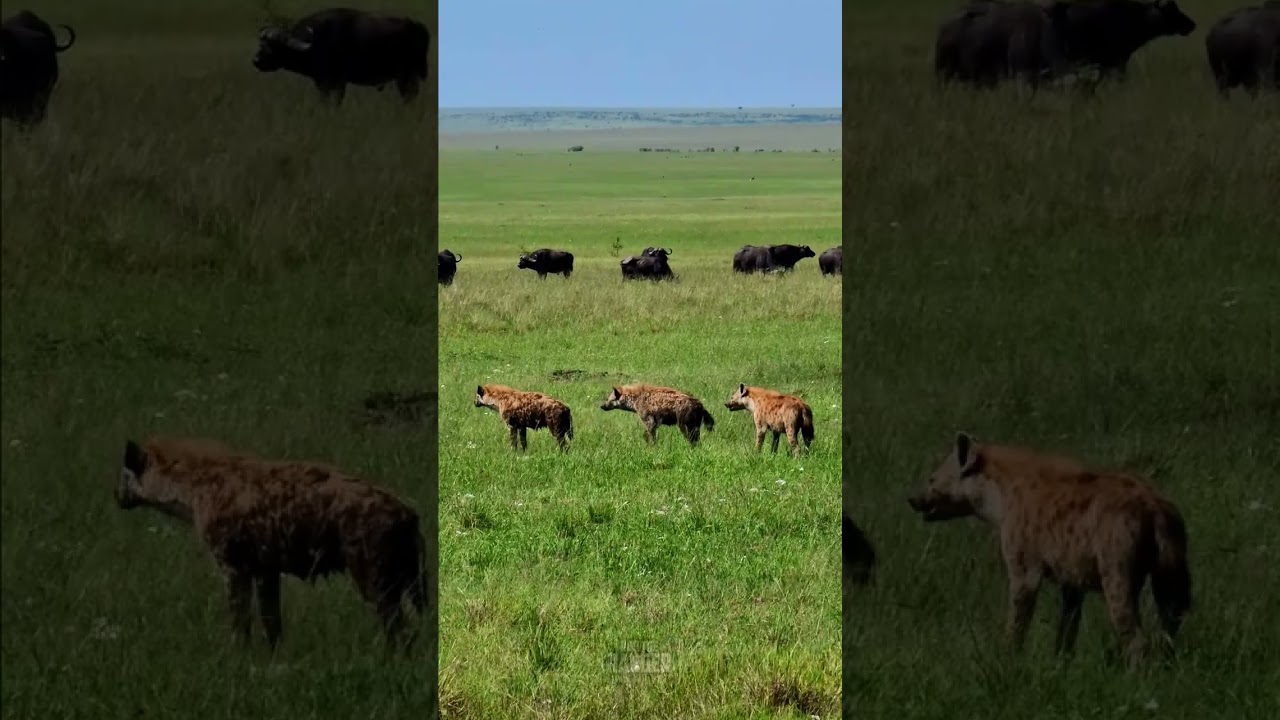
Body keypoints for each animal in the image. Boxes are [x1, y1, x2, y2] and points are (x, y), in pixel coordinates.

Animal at [253, 7, 430, 105]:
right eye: (262, 43)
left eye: (275, 46)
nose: (256, 60)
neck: (316, 41)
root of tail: (415, 25)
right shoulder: (322, 83)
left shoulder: (337, 82)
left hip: (405, 76)